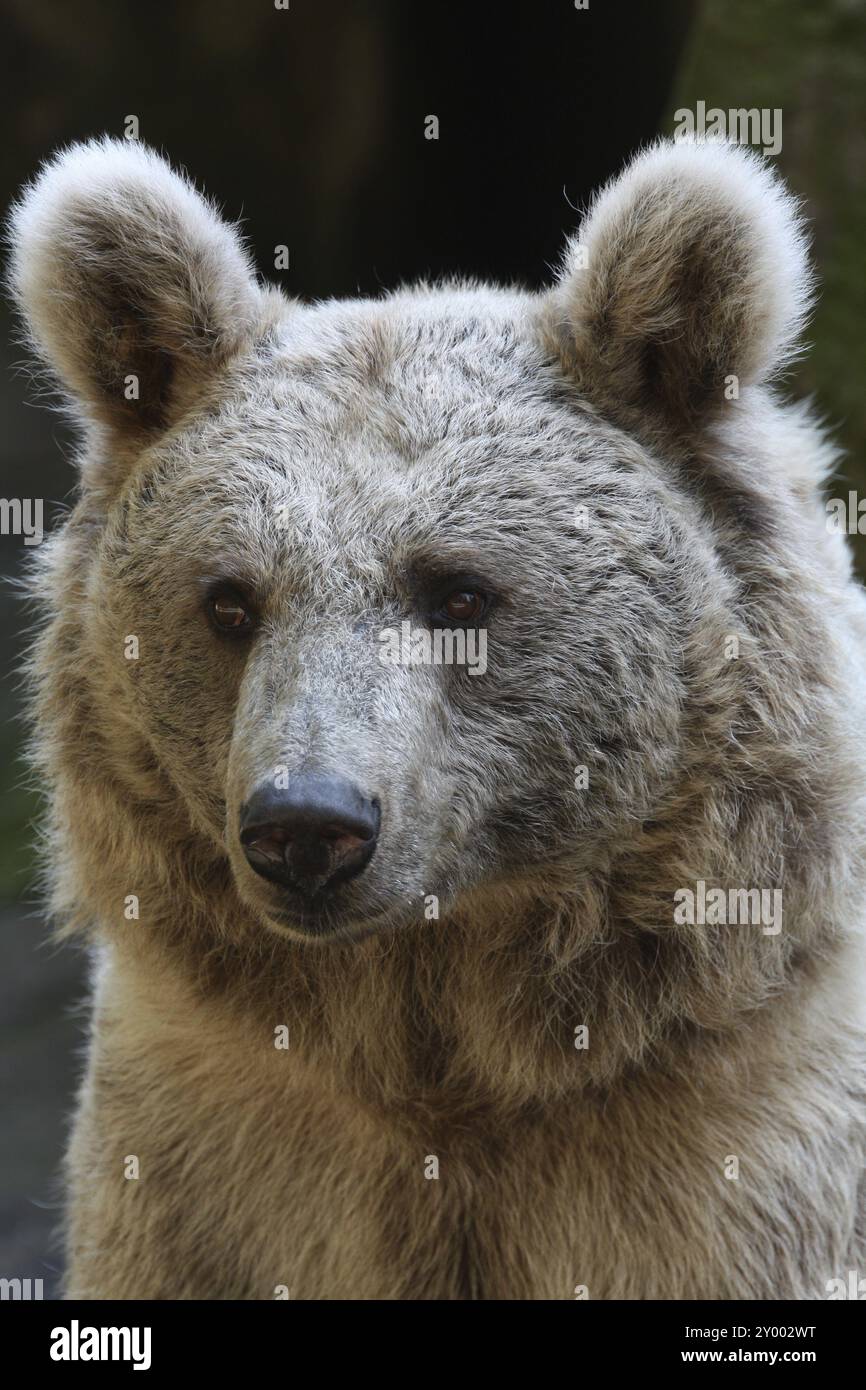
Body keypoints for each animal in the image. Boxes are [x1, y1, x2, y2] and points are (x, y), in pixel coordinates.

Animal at [7, 135, 866, 1300]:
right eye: (229, 600)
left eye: (458, 593)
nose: (307, 827)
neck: (444, 1019)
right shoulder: (205, 1153)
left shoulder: (737, 1155)